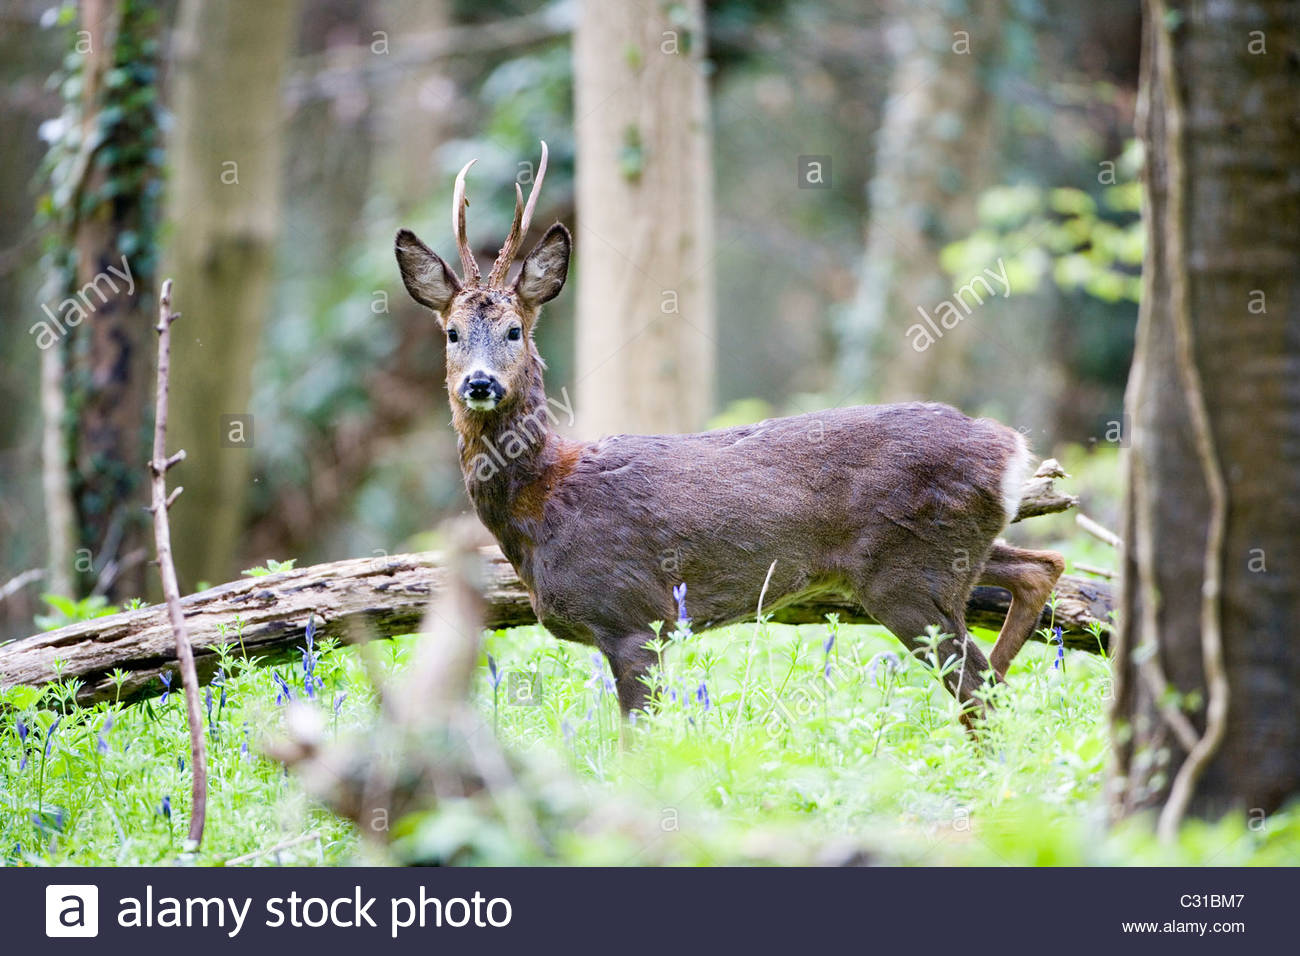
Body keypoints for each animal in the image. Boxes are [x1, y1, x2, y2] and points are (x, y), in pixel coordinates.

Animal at [394, 142, 1065, 728]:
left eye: (513, 330)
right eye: (452, 333)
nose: (480, 383)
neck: (545, 499)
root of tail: (1011, 448)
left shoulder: (635, 616)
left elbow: (637, 741)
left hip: (910, 572)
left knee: (980, 690)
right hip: (951, 553)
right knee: (1041, 570)